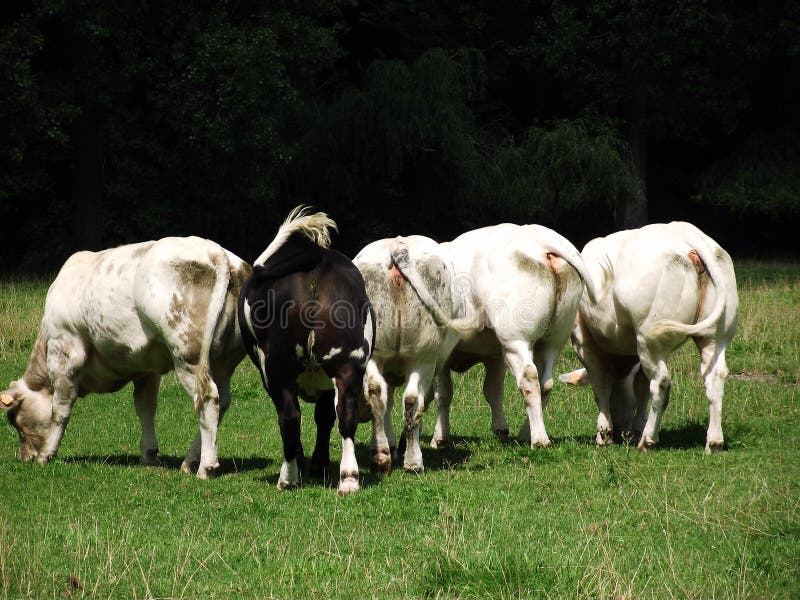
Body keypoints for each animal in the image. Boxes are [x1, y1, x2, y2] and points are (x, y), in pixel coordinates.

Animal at [0, 237, 250, 478]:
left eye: (15, 419)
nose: (24, 458)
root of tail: (214, 251)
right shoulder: (147, 369)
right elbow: (145, 407)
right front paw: (149, 454)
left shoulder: (65, 350)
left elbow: (60, 409)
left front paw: (46, 455)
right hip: (223, 362)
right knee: (222, 401)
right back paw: (190, 461)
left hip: (189, 356)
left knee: (207, 399)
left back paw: (205, 467)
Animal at [238, 207, 375, 494]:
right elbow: (325, 417)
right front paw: (318, 463)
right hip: (347, 365)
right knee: (346, 415)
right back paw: (348, 478)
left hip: (277, 370)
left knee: (289, 418)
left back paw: (289, 477)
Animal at [354, 235, 464, 473]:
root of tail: (398, 247)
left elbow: (387, 402)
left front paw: (390, 445)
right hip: (423, 358)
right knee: (413, 400)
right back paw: (413, 461)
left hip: (375, 354)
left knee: (377, 394)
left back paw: (381, 455)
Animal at [387, 223, 597, 454]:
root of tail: (537, 236)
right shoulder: (494, 355)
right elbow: (493, 390)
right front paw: (500, 428)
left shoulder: (440, 355)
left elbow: (442, 394)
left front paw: (439, 437)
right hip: (552, 341)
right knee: (546, 383)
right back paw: (527, 432)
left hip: (516, 340)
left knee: (529, 378)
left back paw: (539, 439)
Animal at [566, 221, 738, 453]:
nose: (622, 432)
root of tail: (686, 232)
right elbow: (640, 389)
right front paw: (635, 428)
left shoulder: (585, 344)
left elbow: (600, 386)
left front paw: (605, 433)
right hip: (714, 337)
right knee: (715, 377)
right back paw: (714, 442)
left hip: (650, 340)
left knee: (661, 382)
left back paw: (648, 439)